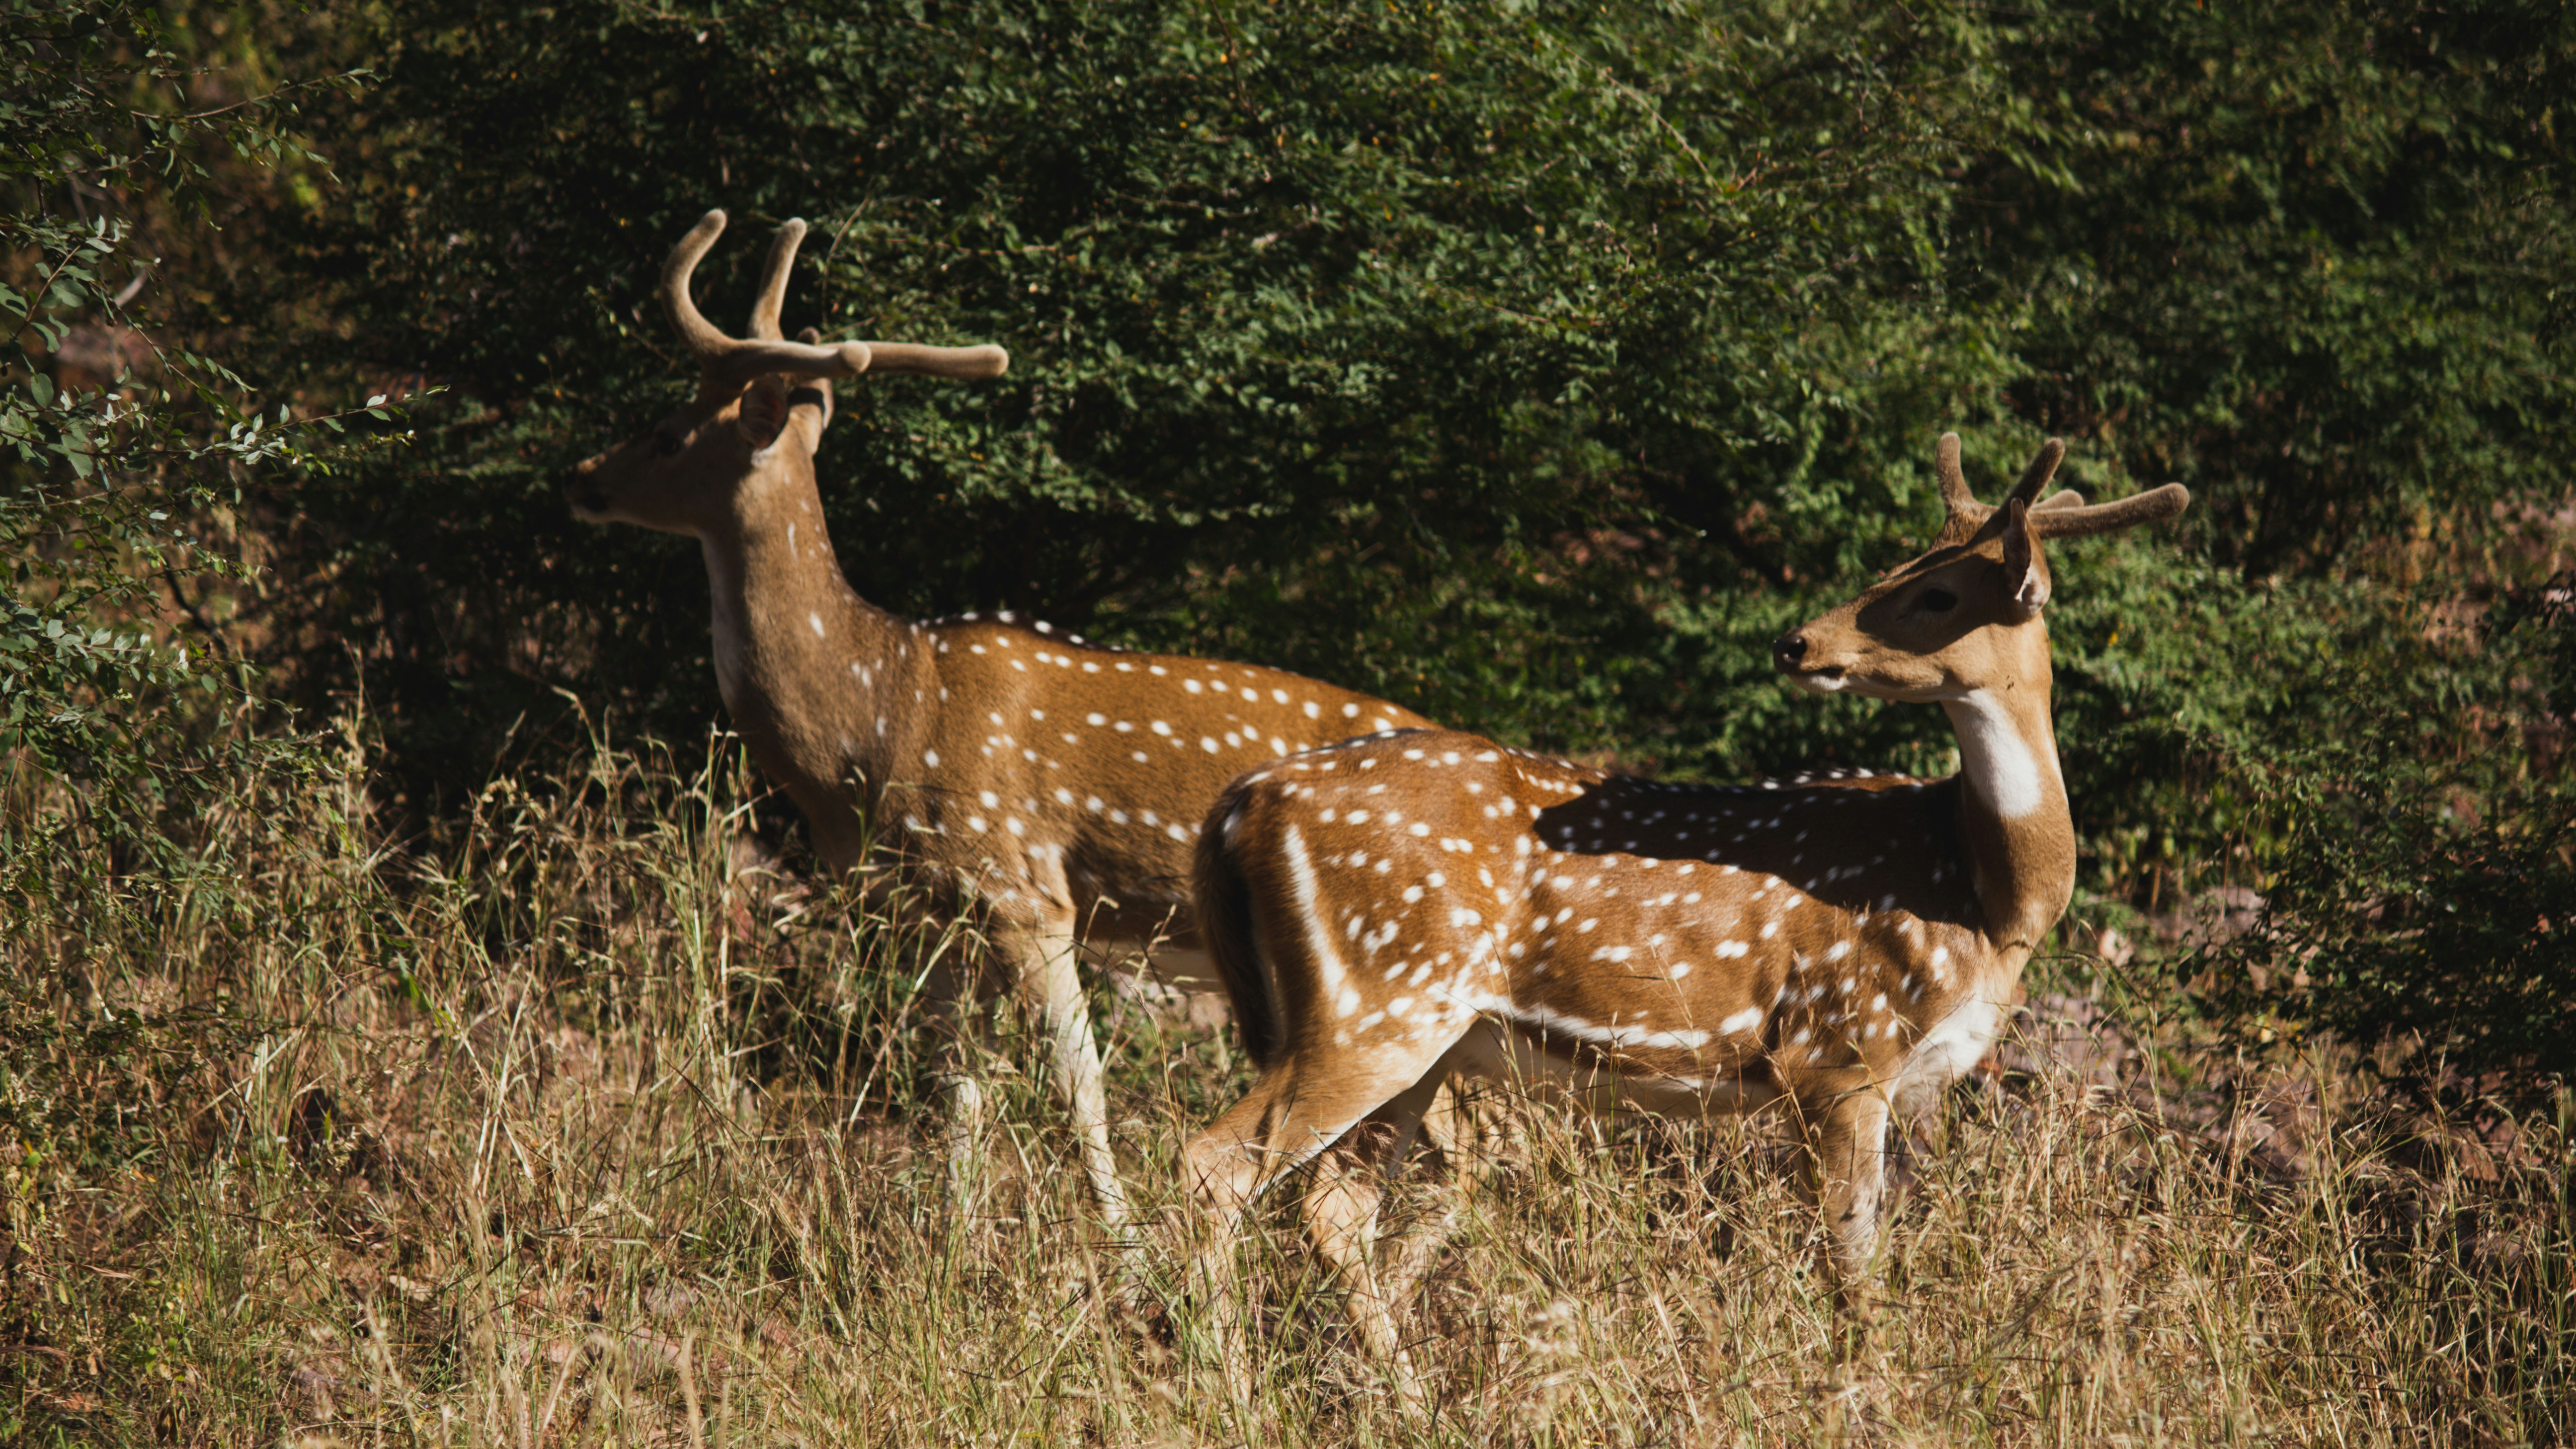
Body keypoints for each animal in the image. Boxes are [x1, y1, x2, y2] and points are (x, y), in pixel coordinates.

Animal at [564, 210, 1438, 1228]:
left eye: (668, 436)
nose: (581, 475)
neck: (876, 719)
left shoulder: (1021, 884)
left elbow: (1078, 1081)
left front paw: (1121, 1244)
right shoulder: (933, 910)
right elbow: (959, 1087)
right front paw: (949, 1231)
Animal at [1176, 434, 2188, 1401]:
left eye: (1933, 589)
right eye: (1890, 571)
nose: (1795, 644)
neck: (1980, 895)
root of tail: (1242, 805)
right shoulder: (1837, 1051)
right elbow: (1851, 1263)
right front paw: (1867, 1388)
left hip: (1419, 1034)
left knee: (1336, 1207)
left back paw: (1401, 1392)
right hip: (1372, 1000)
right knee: (1215, 1164)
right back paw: (1230, 1389)